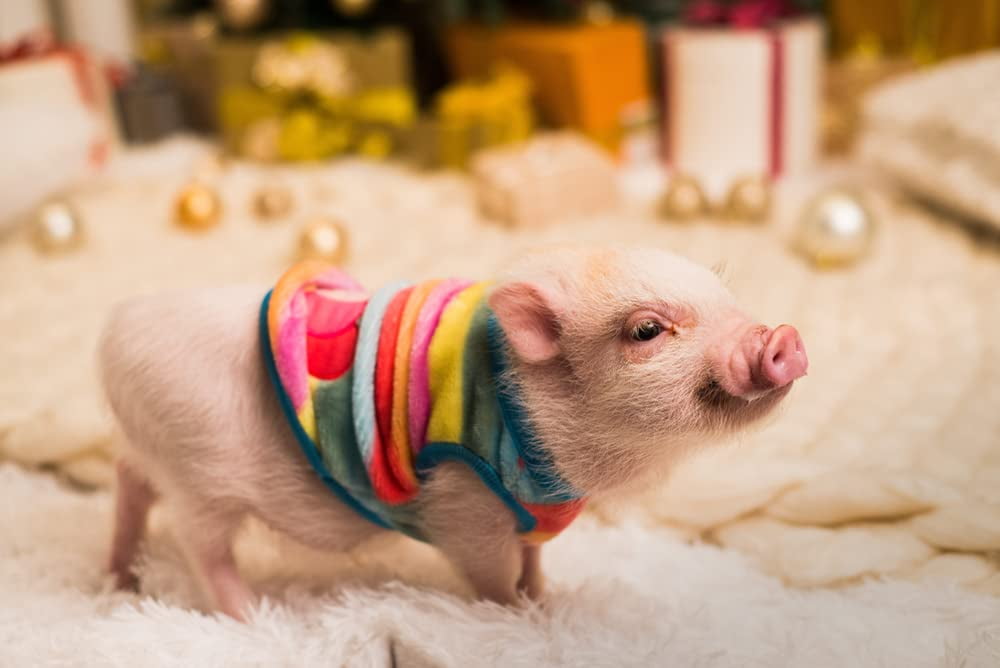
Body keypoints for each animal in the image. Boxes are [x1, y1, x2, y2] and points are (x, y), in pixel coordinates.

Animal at [99, 246, 807, 620]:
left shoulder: (530, 516)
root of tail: (117, 330)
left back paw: (117, 577)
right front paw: (520, 617)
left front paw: (545, 599)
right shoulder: (464, 507)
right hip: (199, 476)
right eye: (647, 330)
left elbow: (534, 561)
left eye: (725, 296)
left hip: (153, 453)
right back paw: (250, 612)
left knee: (128, 480)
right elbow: (490, 573)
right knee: (199, 545)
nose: (783, 336)